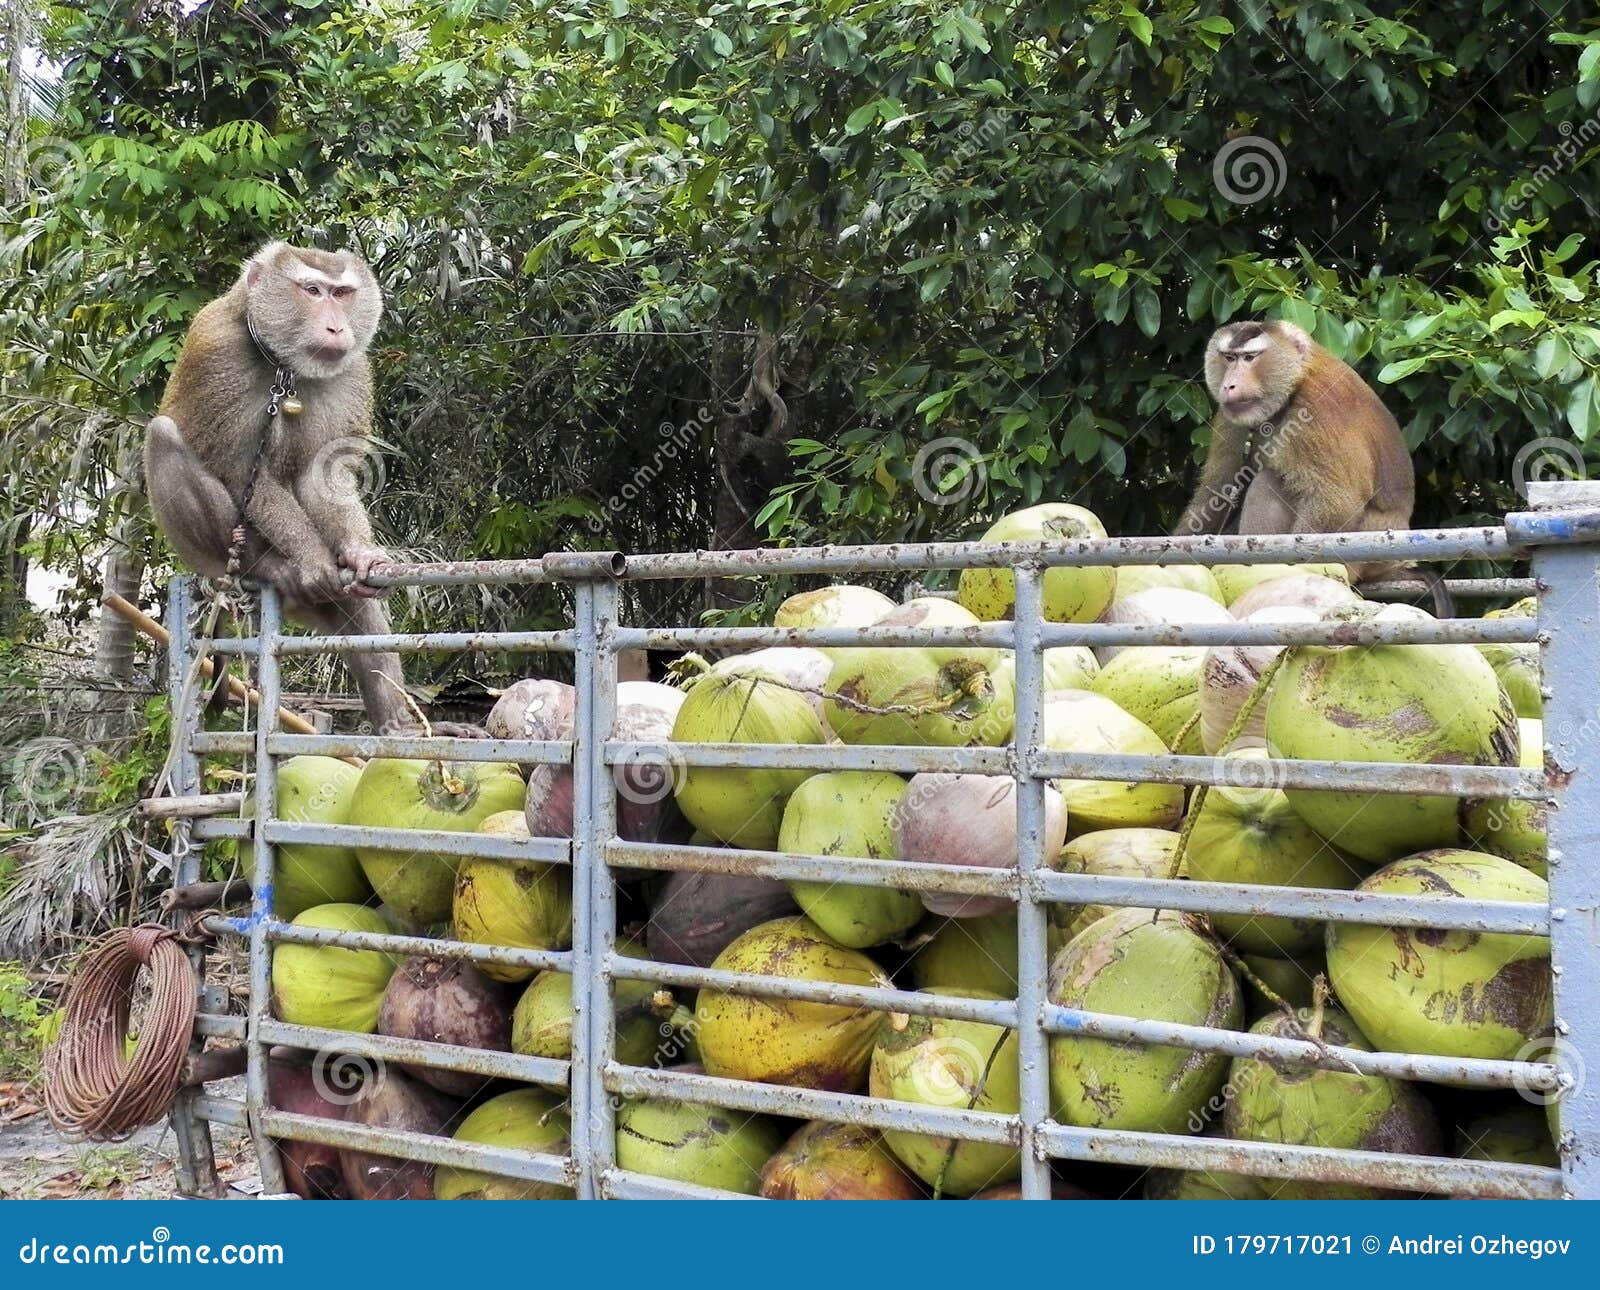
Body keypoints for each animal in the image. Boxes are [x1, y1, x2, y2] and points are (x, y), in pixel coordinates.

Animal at [144, 241, 472, 736]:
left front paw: (359, 553)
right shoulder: (216, 354)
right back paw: (269, 567)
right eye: (313, 290)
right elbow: (243, 472)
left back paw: (395, 723)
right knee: (163, 437)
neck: (285, 369)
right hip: (204, 558)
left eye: (342, 293)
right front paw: (313, 561)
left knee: (357, 605)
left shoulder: (352, 371)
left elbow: (324, 474)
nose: (336, 326)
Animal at [1174, 319, 1453, 616]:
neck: (1294, 382)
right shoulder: (1232, 418)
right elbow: (1217, 493)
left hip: (1361, 556)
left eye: (1250, 358)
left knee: (1269, 482)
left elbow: (1338, 502)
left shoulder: (1317, 410)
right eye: (1229, 357)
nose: (1229, 385)